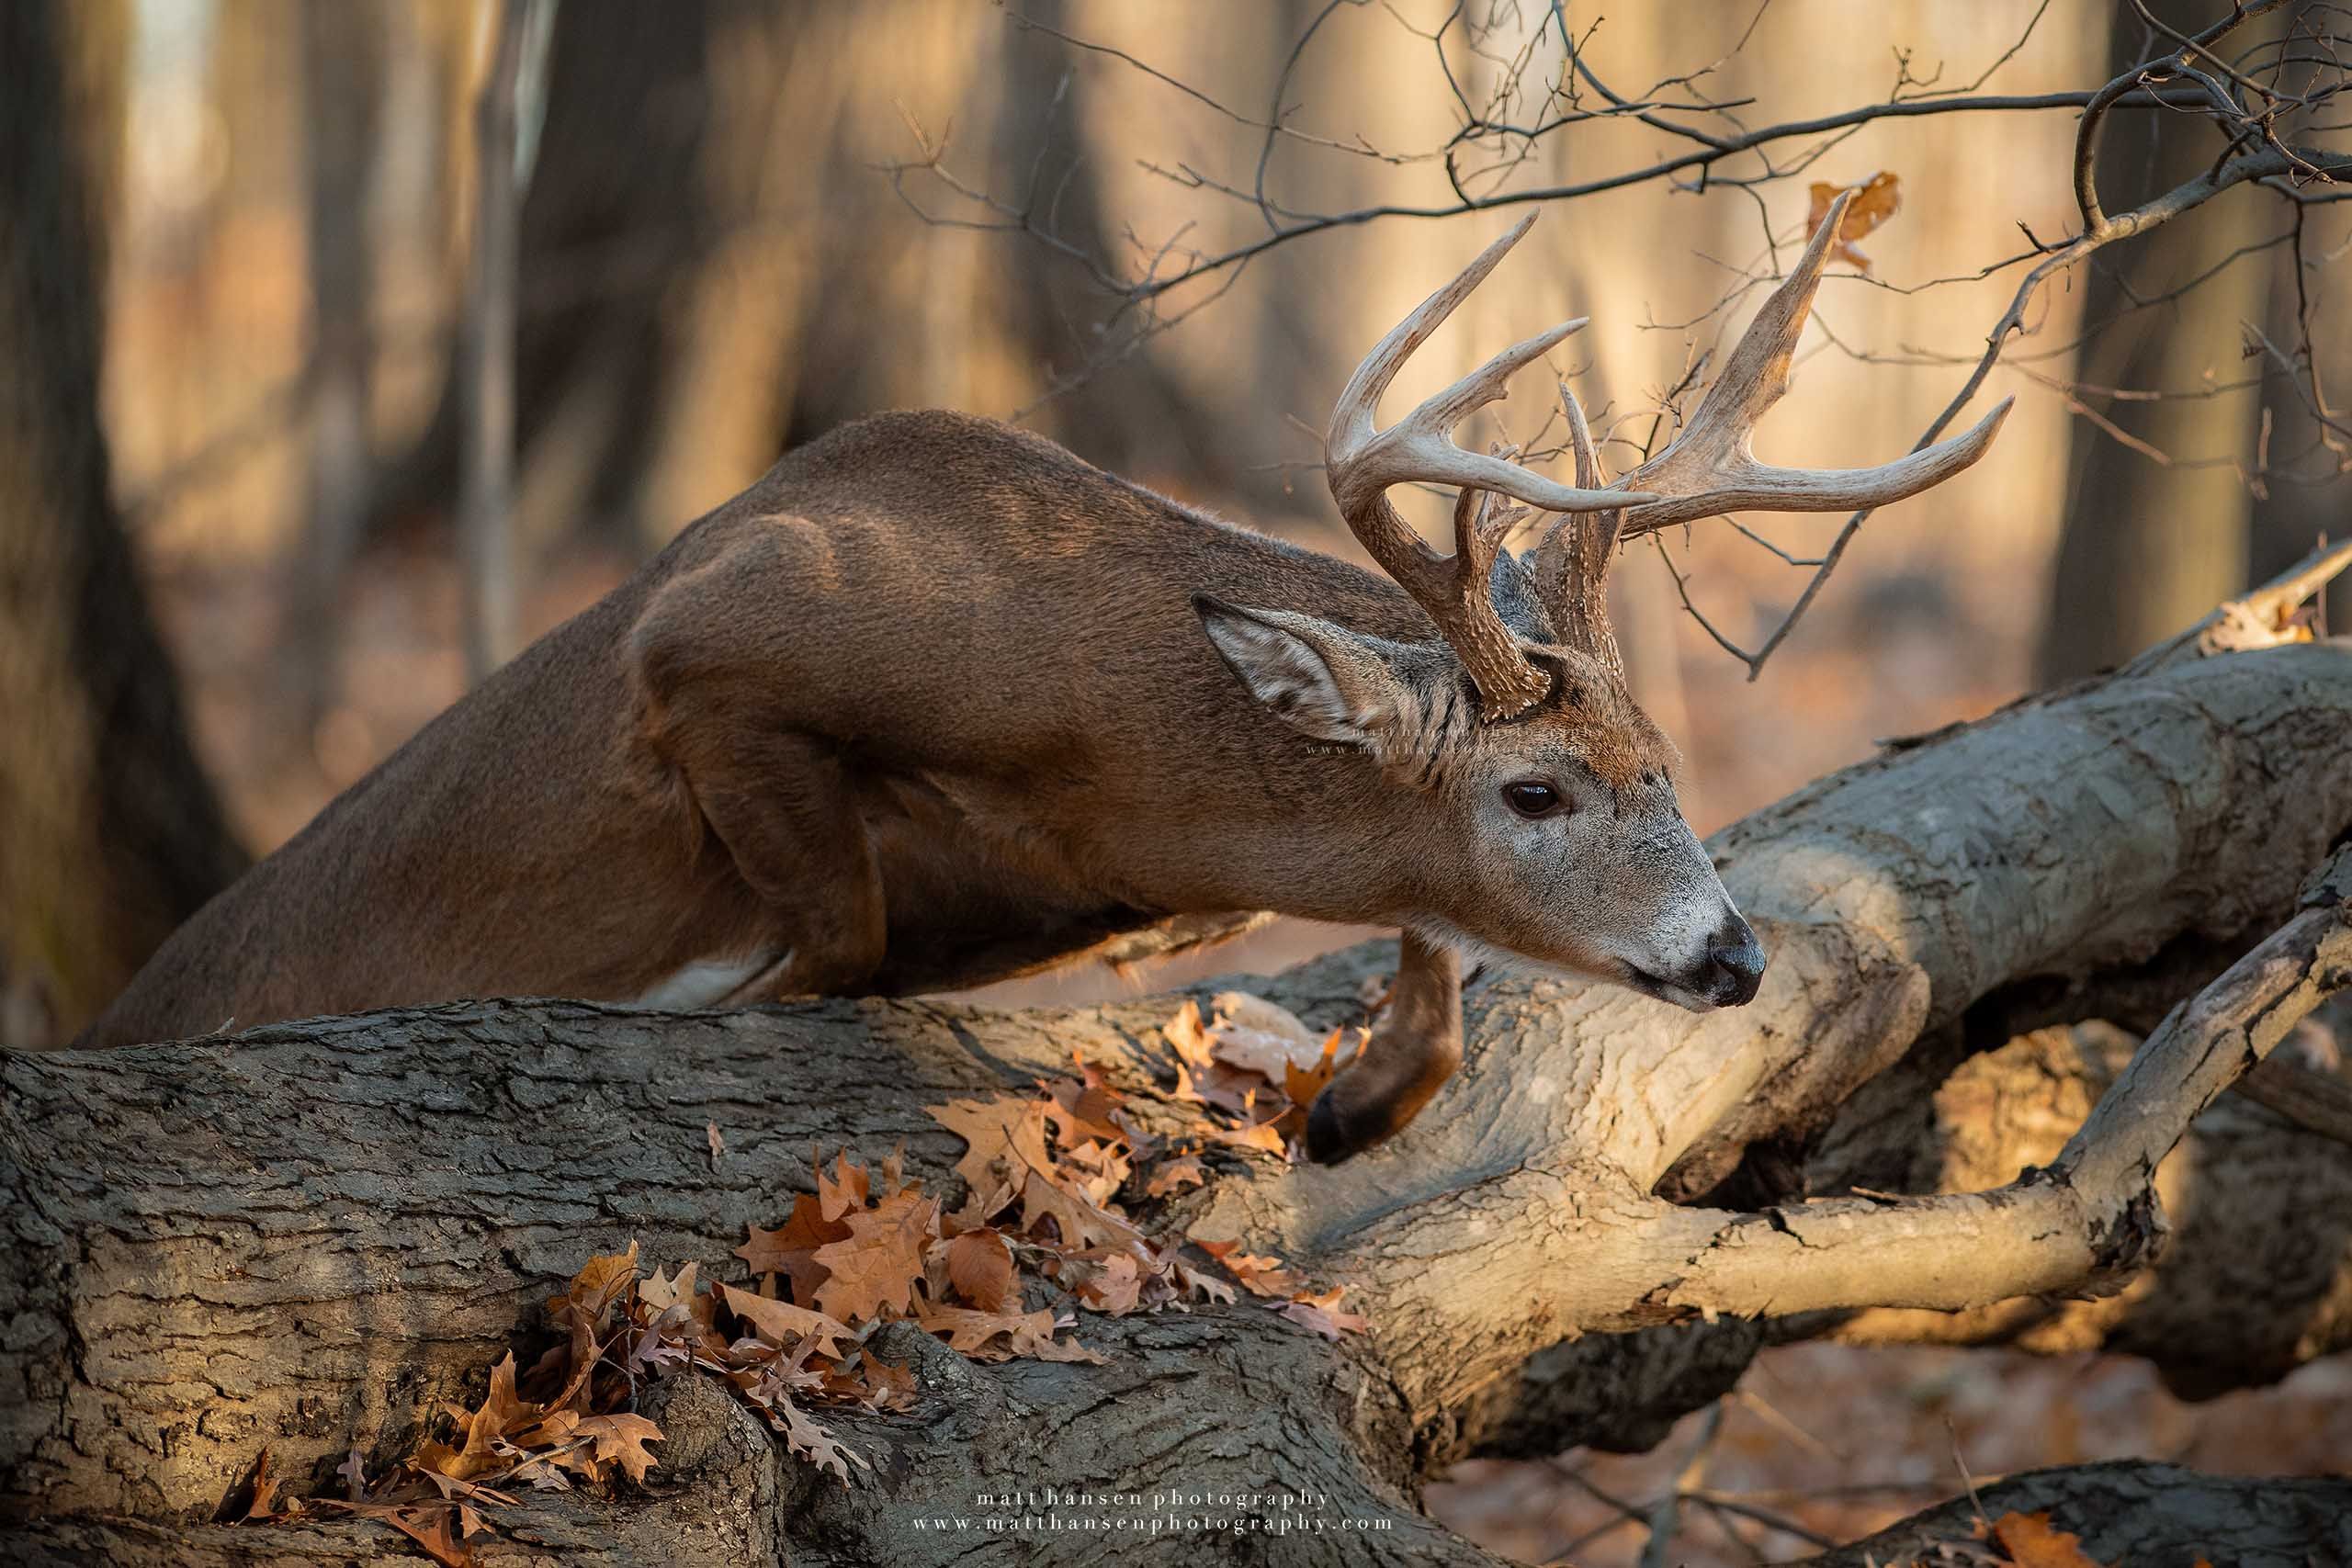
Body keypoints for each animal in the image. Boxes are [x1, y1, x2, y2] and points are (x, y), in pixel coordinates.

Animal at [83, 191, 2007, 1163]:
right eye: (1535, 790)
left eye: (1670, 763)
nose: (1731, 952)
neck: (1108, 783)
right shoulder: (708, 634)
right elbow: (837, 934)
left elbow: (1426, 955)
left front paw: (1356, 1098)